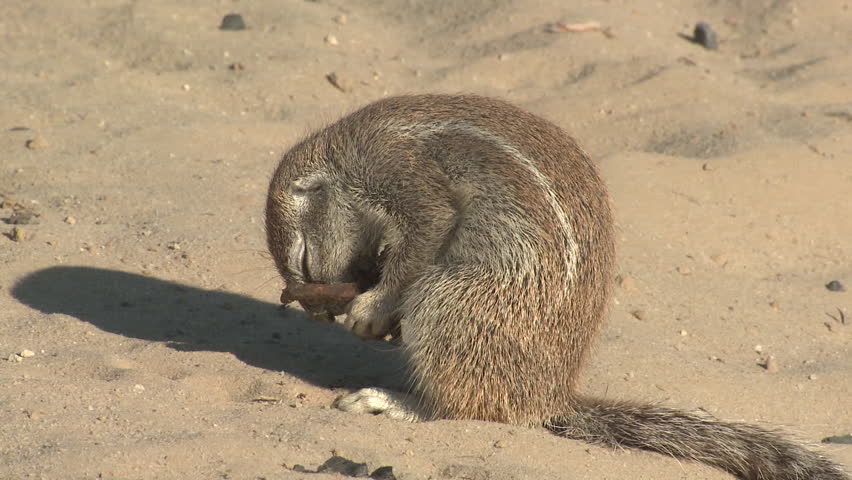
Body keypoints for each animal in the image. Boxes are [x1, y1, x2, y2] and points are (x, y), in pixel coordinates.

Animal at [265, 94, 849, 480]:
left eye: (303, 258)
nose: (318, 311)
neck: (346, 155)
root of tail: (549, 397)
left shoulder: (398, 175)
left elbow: (427, 231)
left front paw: (372, 308)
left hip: (445, 299)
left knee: (461, 409)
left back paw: (391, 401)